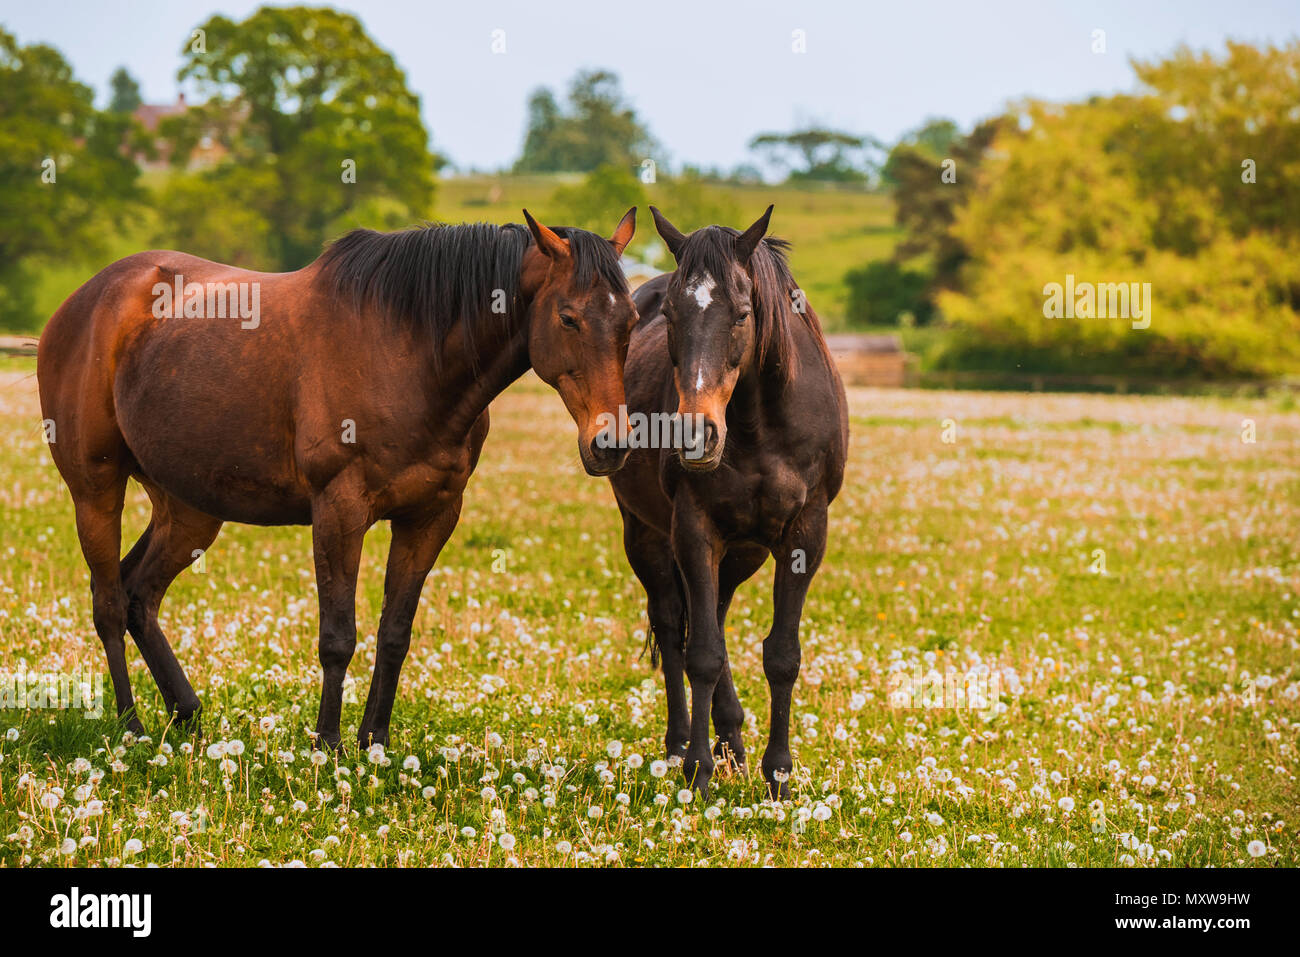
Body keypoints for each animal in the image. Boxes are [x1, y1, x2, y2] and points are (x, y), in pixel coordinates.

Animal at [37, 208, 638, 751]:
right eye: (568, 318)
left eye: (631, 321)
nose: (609, 445)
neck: (407, 352)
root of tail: (84, 302)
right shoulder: (339, 511)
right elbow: (338, 637)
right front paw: (328, 744)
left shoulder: (430, 517)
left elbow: (394, 634)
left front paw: (376, 741)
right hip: (96, 491)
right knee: (109, 603)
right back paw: (131, 727)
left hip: (189, 509)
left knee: (139, 593)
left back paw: (186, 714)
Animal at [608, 206, 848, 798]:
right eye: (671, 314)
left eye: (742, 314)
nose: (696, 436)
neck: (762, 423)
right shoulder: (694, 529)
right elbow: (702, 654)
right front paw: (697, 771)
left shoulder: (806, 533)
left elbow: (782, 655)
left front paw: (778, 774)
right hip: (646, 536)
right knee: (675, 626)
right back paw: (679, 747)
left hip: (743, 552)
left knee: (711, 612)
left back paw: (734, 743)